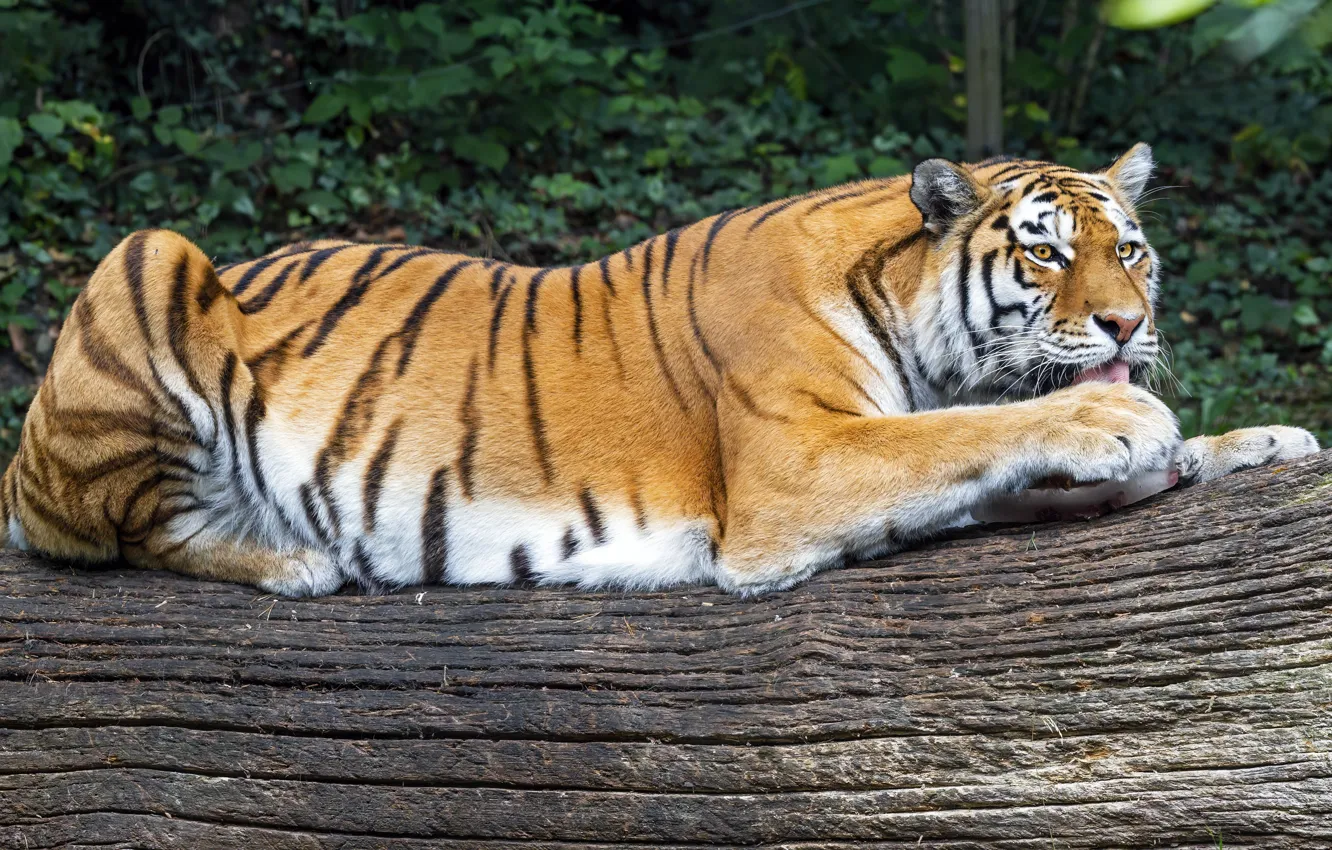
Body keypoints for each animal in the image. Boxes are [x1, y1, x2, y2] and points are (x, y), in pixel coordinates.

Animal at [0, 142, 1319, 596]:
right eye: (1043, 252)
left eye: (1129, 248)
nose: (1126, 326)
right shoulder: (795, 469)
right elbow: (961, 439)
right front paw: (1122, 425)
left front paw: (1261, 439)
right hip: (148, 257)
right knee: (121, 533)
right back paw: (294, 557)